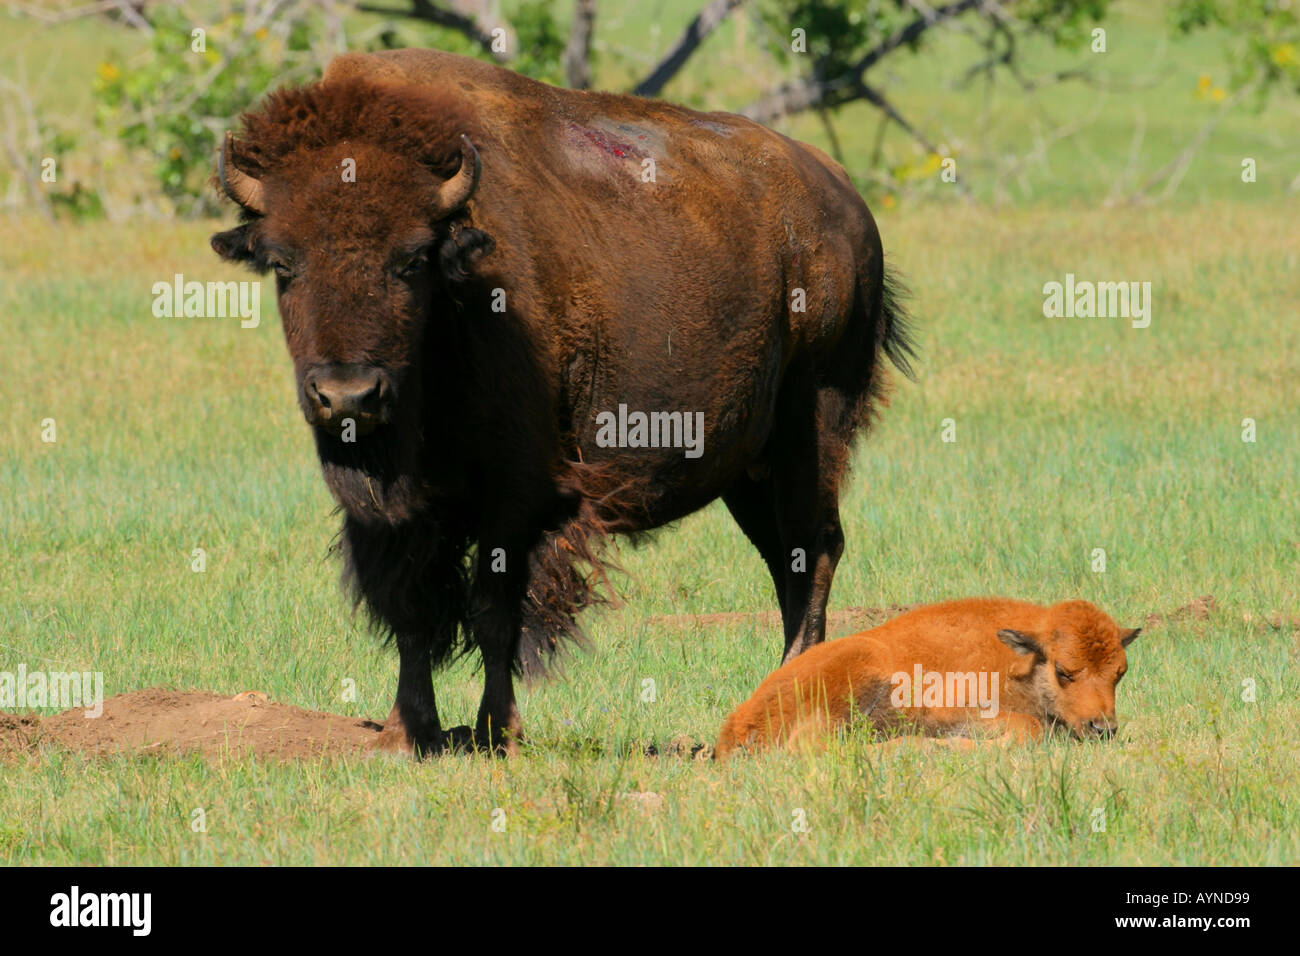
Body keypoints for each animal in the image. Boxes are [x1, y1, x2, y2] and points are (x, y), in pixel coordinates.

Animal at [210, 48, 915, 756]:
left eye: (411, 261)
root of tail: (845, 199)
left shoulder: (515, 494)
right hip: (747, 465)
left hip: (815, 421)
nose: (347, 395)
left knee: (815, 548)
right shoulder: (391, 513)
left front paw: (497, 732)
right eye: (283, 264)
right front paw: (404, 733)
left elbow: (495, 612)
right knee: (785, 558)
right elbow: (410, 610)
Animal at [714, 598, 1139, 758]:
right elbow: (1028, 727)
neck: (1021, 662)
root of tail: (737, 724)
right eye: (1065, 672)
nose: (1103, 728)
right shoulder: (947, 710)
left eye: (1119, 674)